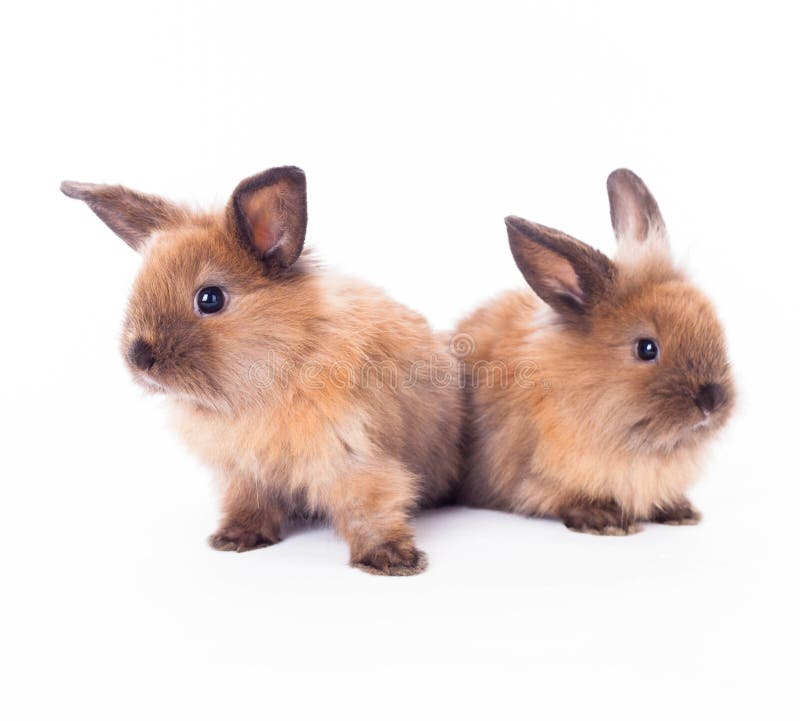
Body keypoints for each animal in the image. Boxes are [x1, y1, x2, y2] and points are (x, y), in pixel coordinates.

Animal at [61, 166, 462, 575]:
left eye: (210, 298)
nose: (139, 357)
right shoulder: (243, 472)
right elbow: (247, 506)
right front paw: (235, 540)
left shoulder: (354, 457)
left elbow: (370, 507)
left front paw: (390, 560)